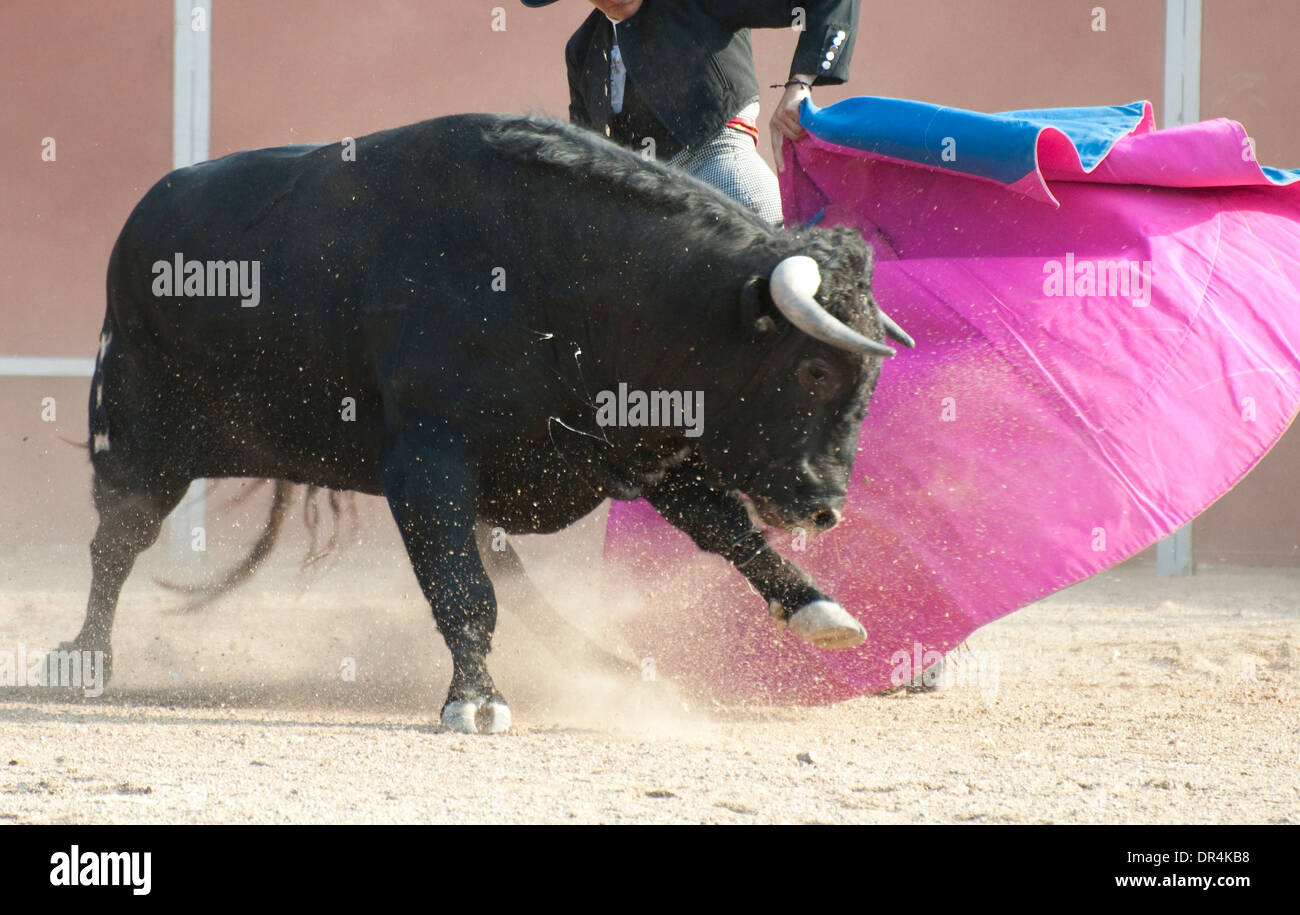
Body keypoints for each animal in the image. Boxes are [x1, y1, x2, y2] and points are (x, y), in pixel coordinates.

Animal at [59, 113, 912, 733]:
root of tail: (152, 207)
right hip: (133, 434)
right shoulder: (427, 457)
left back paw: (601, 662)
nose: (825, 508)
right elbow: (458, 585)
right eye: (813, 370)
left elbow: (728, 530)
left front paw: (820, 609)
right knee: (115, 542)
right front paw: (473, 699)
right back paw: (84, 660)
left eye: (869, 378)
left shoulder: (651, 450)